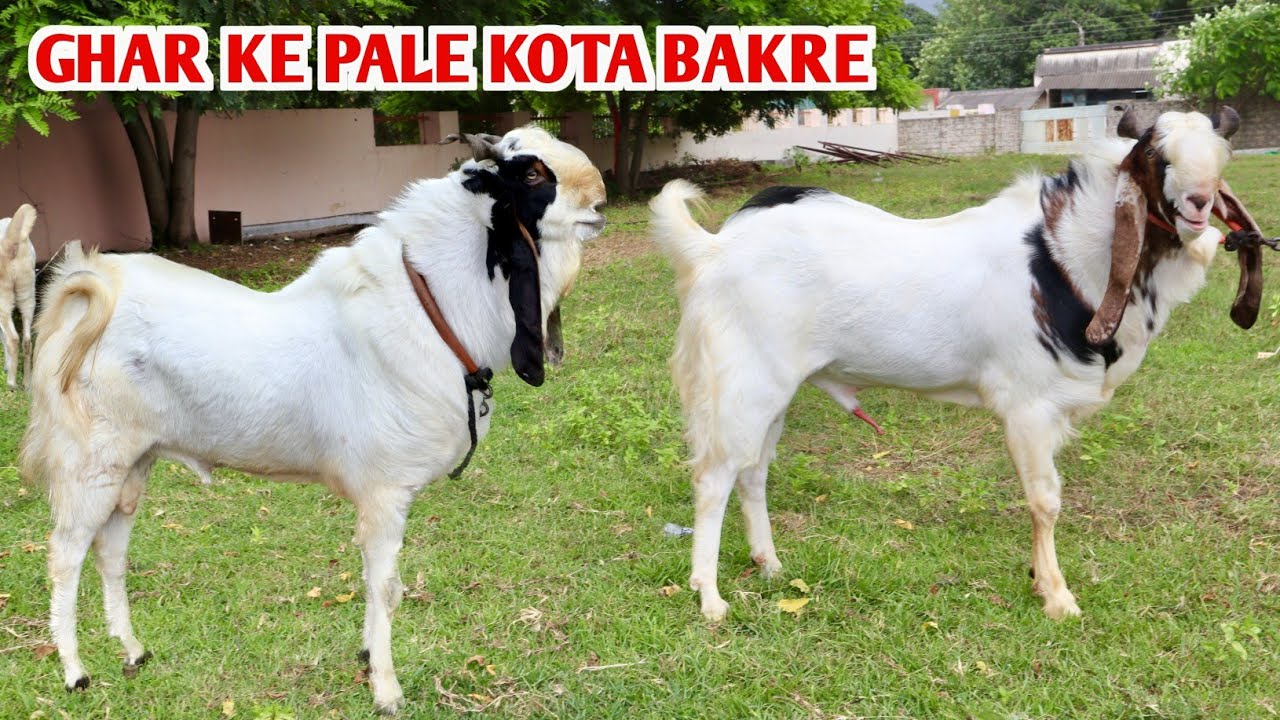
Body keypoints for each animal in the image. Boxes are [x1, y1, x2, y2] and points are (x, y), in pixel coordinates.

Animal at [21, 127, 606, 714]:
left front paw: (368, 658)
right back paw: (74, 671)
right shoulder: (386, 494)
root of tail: (90, 287)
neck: (429, 306)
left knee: (111, 552)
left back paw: (132, 651)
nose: (600, 201)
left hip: (132, 463)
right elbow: (385, 586)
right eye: (531, 173)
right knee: (66, 555)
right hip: (91, 465)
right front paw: (386, 688)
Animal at [650, 108, 1268, 623]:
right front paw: (1056, 596)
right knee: (715, 476)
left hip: (771, 389)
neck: (1062, 261)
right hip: (744, 380)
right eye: (1159, 158)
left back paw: (770, 565)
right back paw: (709, 597)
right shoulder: (1028, 409)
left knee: (753, 471)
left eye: (1220, 158)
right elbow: (1045, 500)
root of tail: (713, 250)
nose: (1198, 204)